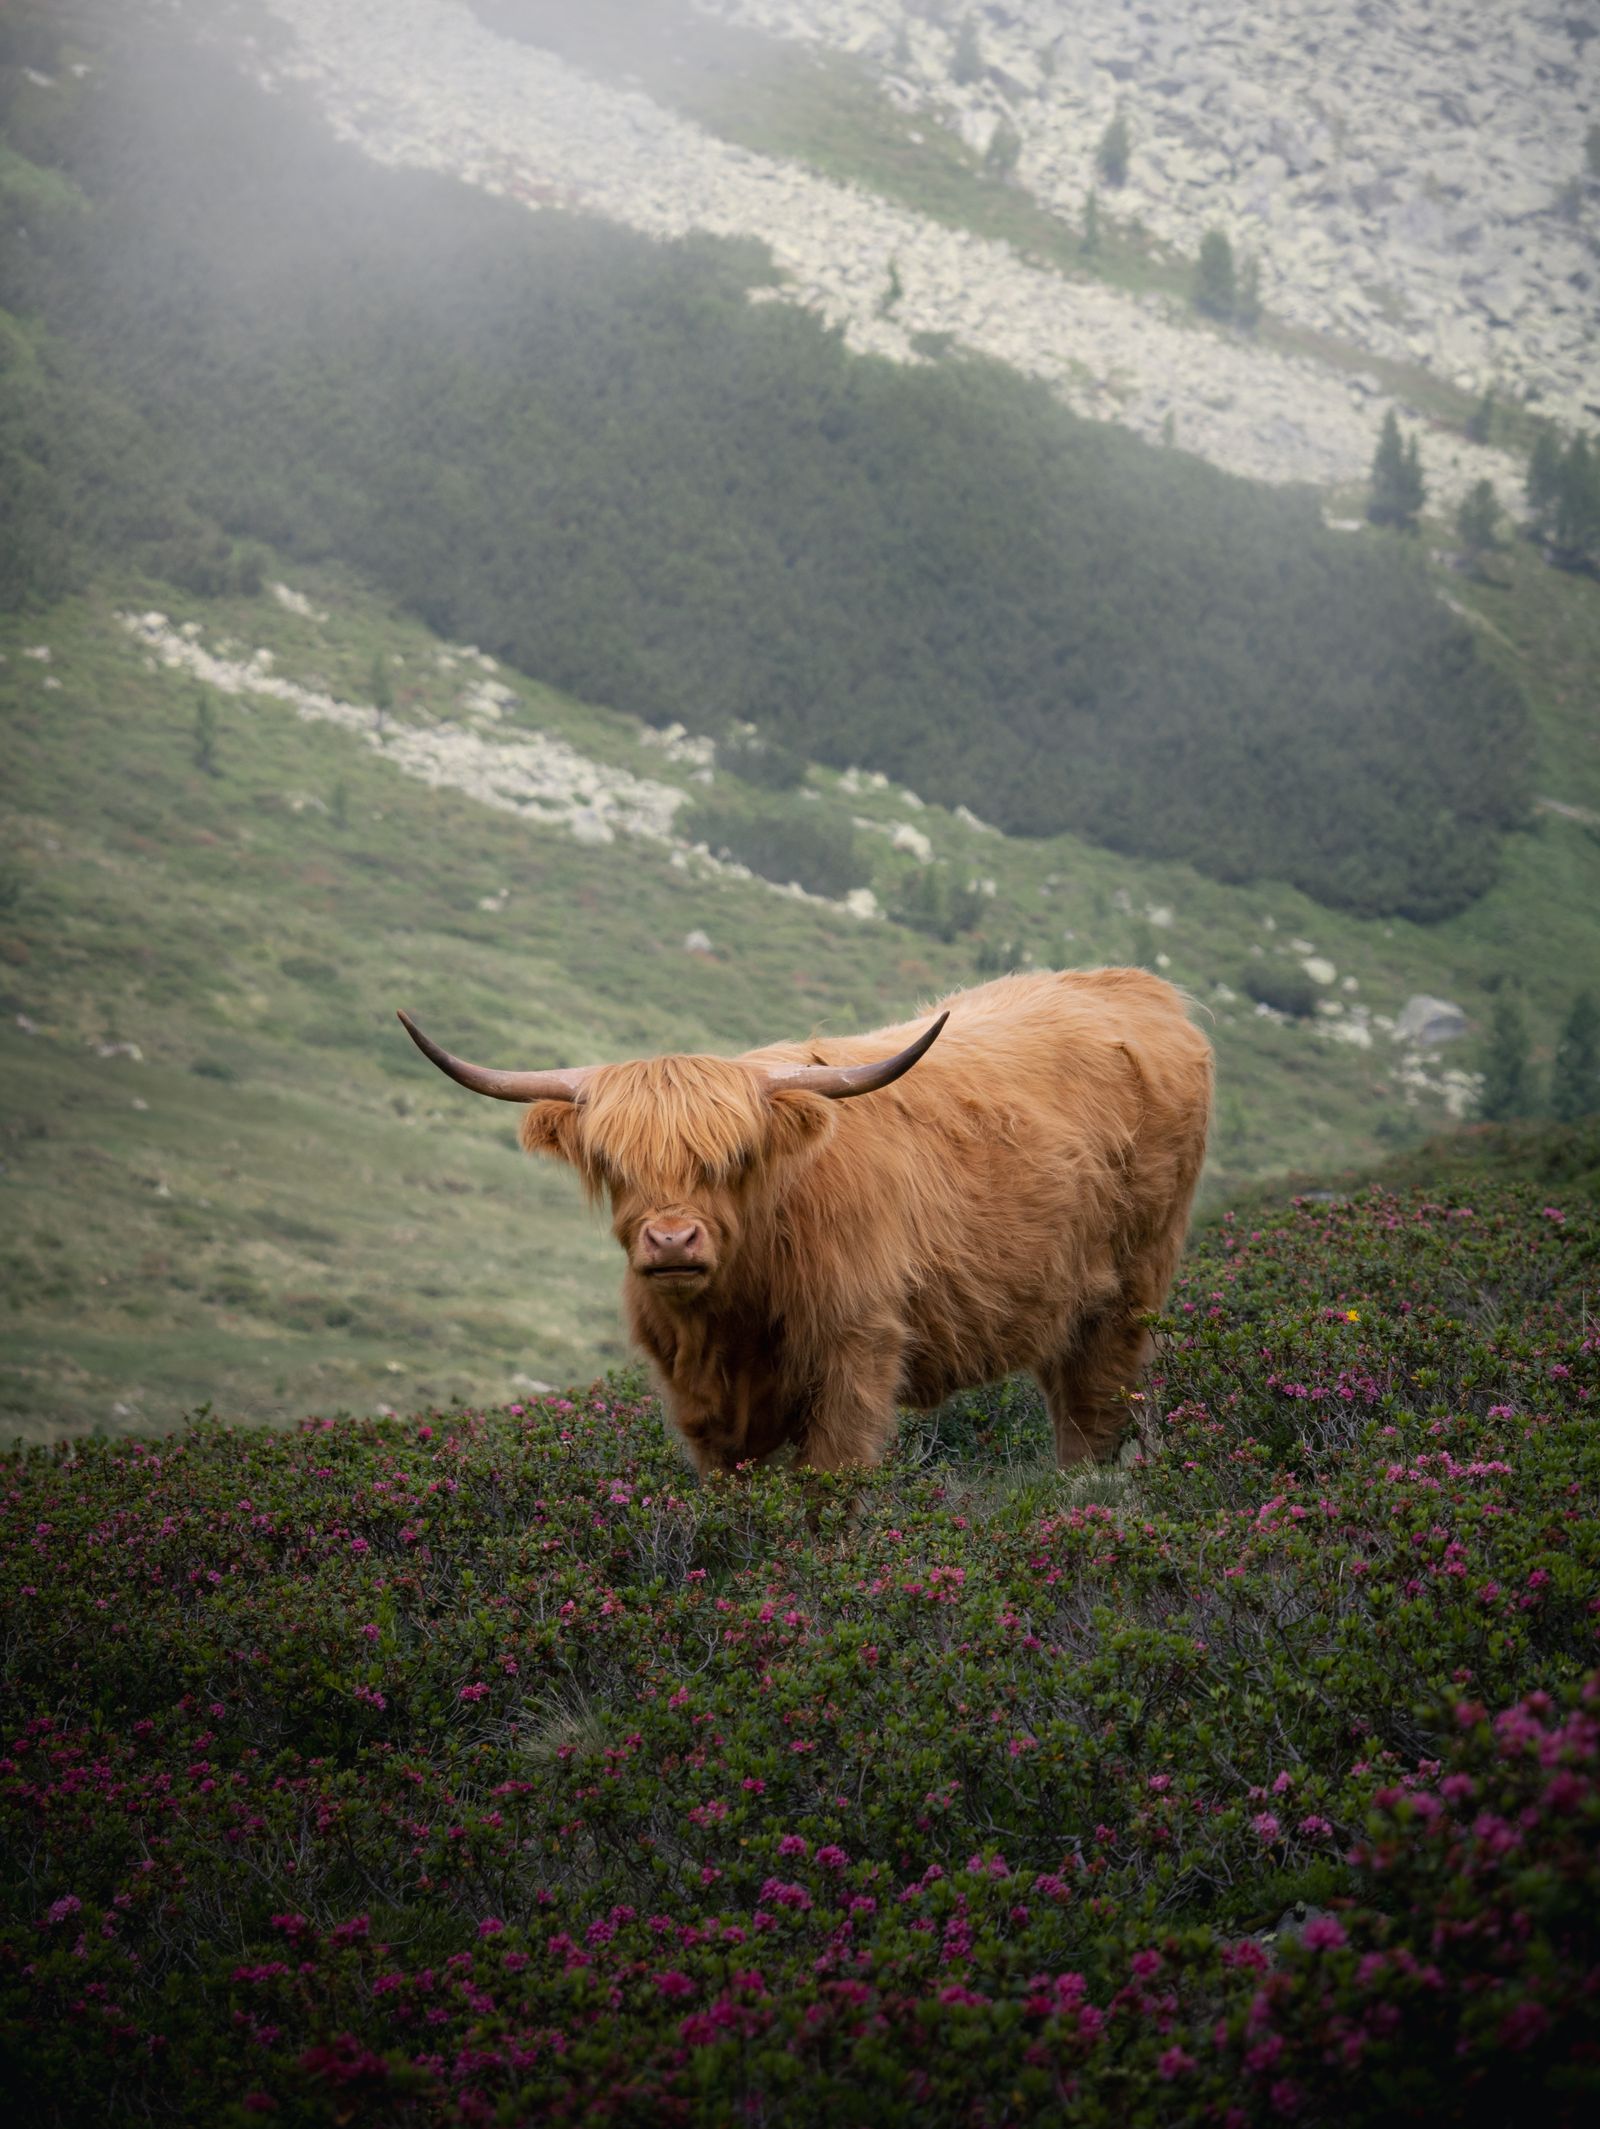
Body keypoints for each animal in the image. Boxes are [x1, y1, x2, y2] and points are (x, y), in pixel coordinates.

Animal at [398, 968, 1212, 1475]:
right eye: (611, 1162)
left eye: (733, 1156)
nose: (671, 1240)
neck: (731, 1313)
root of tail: (1138, 988)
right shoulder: (700, 1402)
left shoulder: (858, 1353)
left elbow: (829, 1489)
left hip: (1130, 1290)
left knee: (1094, 1414)